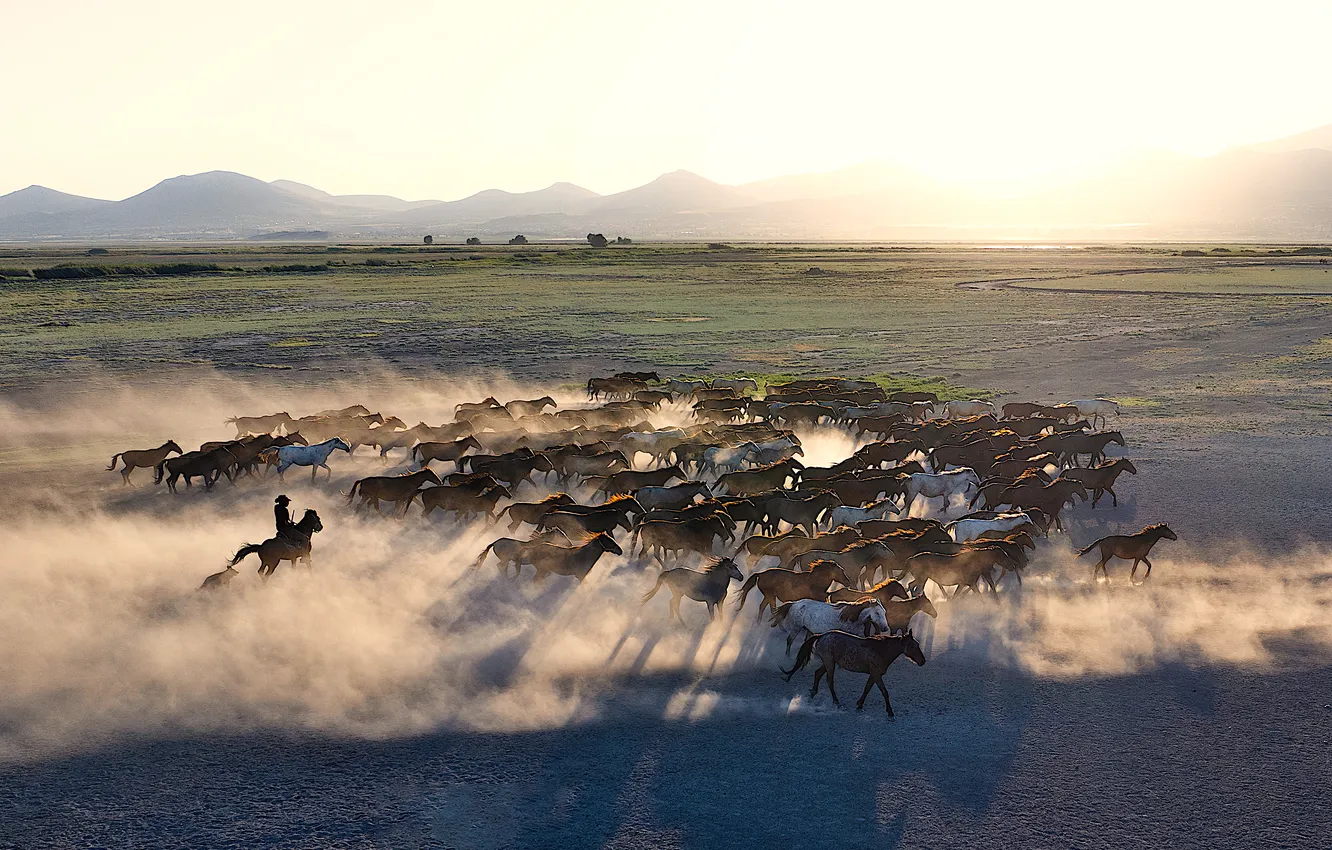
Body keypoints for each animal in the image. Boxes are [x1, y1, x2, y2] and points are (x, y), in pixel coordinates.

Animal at [783, 630, 927, 715]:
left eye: (918, 644)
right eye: (912, 646)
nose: (922, 661)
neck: (881, 650)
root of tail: (821, 636)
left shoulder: (874, 674)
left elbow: (867, 689)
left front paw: (859, 704)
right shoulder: (876, 674)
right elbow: (884, 692)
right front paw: (890, 712)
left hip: (828, 663)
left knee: (817, 674)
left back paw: (812, 695)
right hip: (830, 663)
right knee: (829, 680)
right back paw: (836, 701)